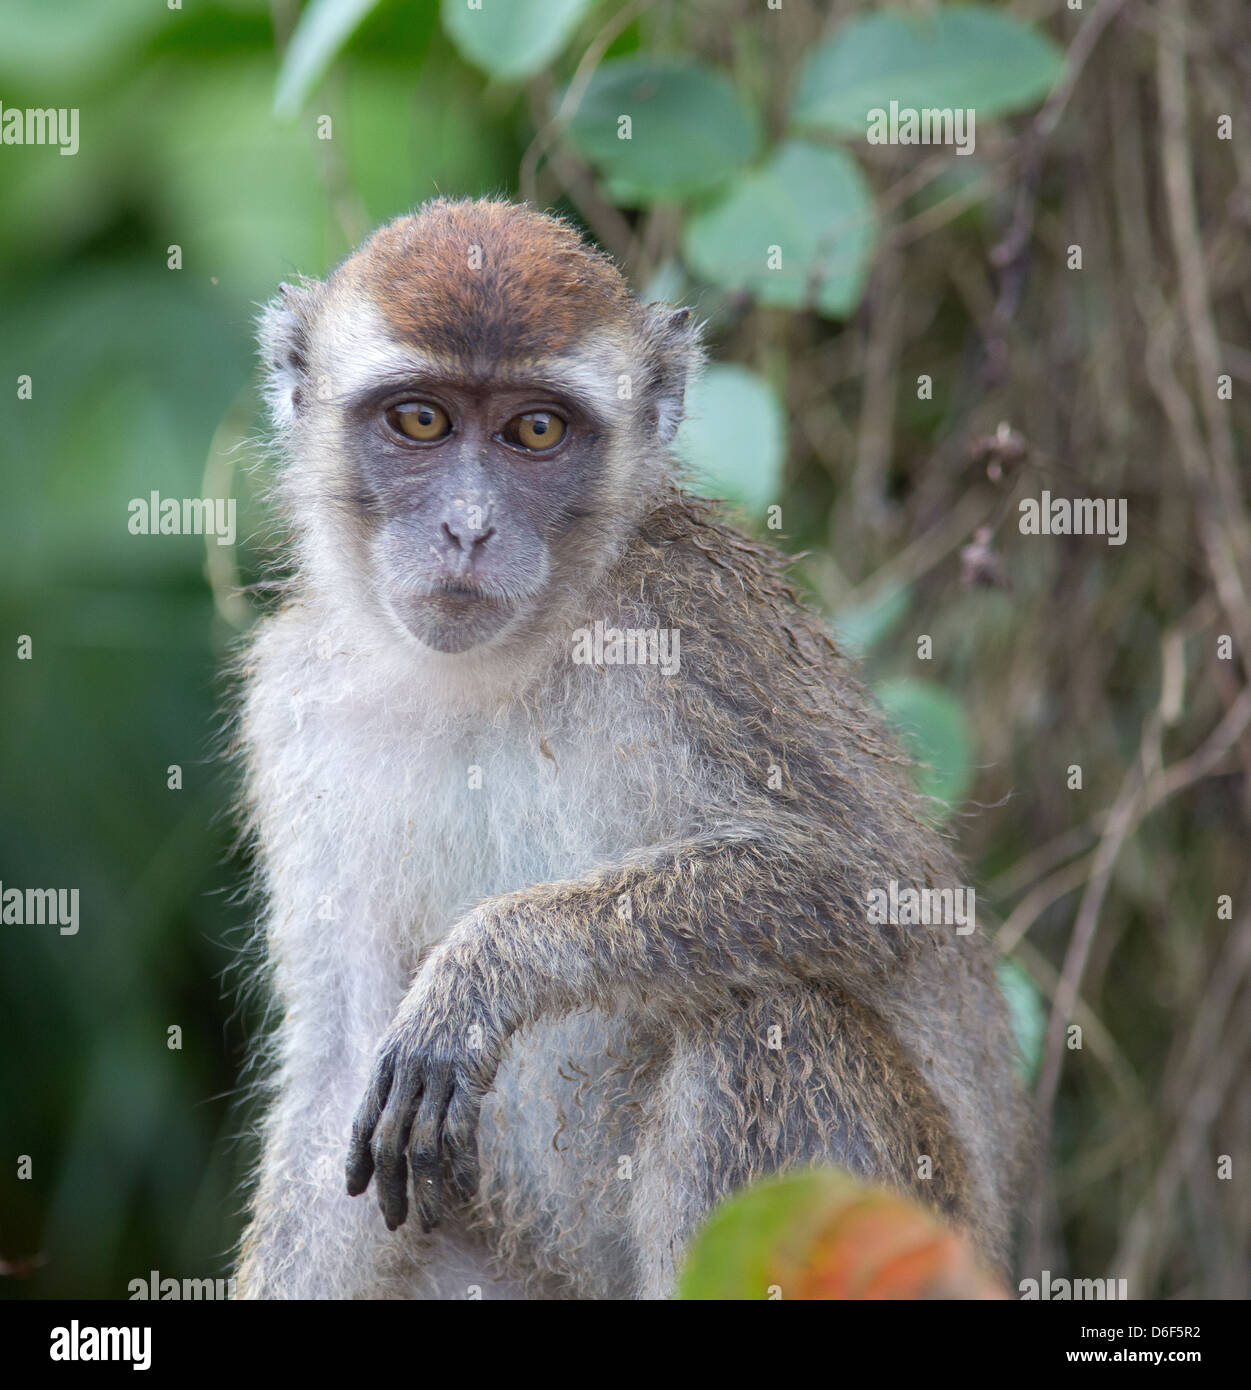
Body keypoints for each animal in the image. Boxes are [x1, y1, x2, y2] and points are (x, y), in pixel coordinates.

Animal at [232, 196, 1028, 1300]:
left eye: (536, 429)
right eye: (420, 420)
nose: (468, 528)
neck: (496, 669)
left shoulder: (695, 623)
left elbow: (875, 882)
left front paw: (488, 966)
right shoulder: (293, 705)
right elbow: (341, 1066)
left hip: (919, 1238)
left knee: (763, 1027)